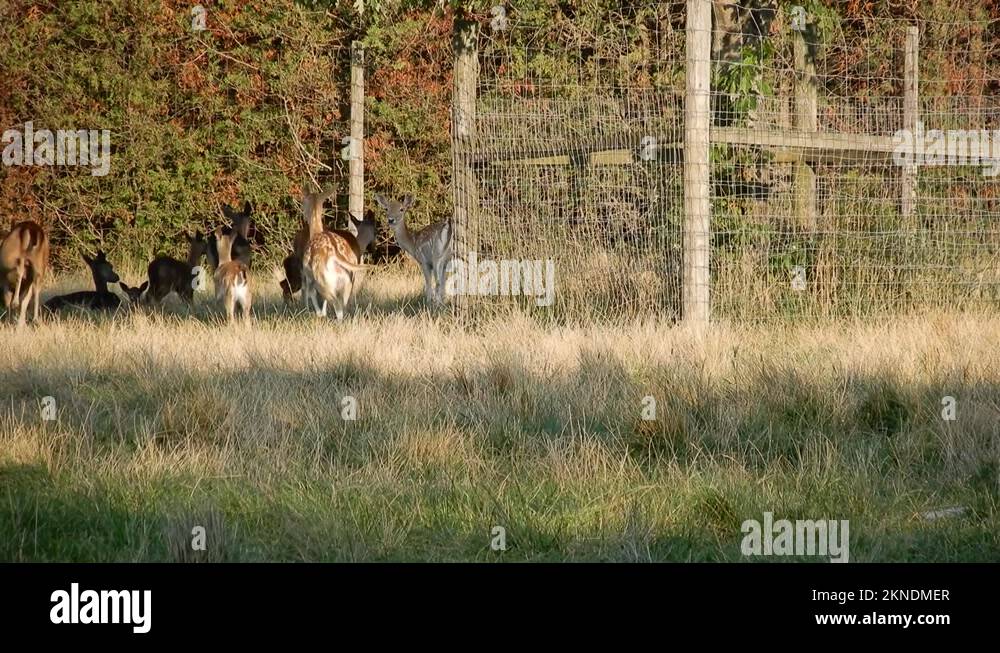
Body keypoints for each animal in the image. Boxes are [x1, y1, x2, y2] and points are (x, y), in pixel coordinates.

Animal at [300, 189, 369, 320]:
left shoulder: (307, 272)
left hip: (322, 278)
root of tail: (337, 254)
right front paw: (322, 313)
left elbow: (310, 292)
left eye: (303, 203)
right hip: (347, 281)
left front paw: (318, 313)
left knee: (334, 302)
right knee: (342, 306)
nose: (304, 217)